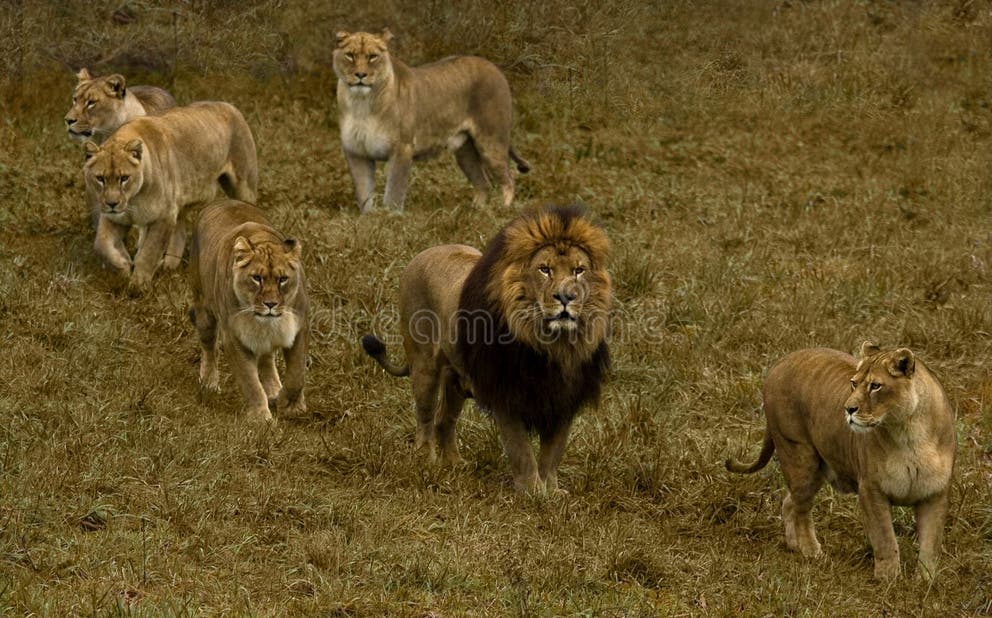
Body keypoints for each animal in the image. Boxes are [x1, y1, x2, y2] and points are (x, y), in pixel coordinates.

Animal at [83, 101, 258, 291]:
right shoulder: (115, 218)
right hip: (179, 203)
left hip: (243, 186)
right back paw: (168, 267)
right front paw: (124, 265)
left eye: (124, 178)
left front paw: (138, 286)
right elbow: (101, 244)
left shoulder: (164, 216)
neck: (133, 199)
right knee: (180, 233)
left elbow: (148, 253)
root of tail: (228, 105)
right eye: (100, 178)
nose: (112, 203)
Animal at [189, 199, 308, 422]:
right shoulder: (235, 338)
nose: (270, 304)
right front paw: (261, 418)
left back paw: (274, 390)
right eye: (256, 278)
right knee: (208, 346)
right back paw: (209, 381)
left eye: (282, 279)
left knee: (267, 358)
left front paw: (290, 406)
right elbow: (250, 382)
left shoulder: (299, 329)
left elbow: (296, 374)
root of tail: (220, 201)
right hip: (203, 309)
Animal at [333, 29, 530, 213]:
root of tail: (494, 67)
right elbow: (364, 192)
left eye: (373, 57)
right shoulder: (356, 151)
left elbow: (394, 192)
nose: (360, 74)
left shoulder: (402, 148)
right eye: (350, 55)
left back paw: (503, 211)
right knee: (484, 184)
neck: (361, 103)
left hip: (491, 141)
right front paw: (368, 219)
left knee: (508, 179)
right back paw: (474, 213)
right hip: (465, 151)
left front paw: (390, 218)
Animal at [361, 205, 611, 493]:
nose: (566, 297)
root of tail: (423, 253)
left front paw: (551, 490)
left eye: (578, 270)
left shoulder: (565, 398)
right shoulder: (506, 395)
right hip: (424, 365)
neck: (552, 345)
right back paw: (427, 461)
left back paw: (455, 463)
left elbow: (552, 452)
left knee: (444, 420)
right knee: (424, 418)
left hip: (455, 380)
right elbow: (521, 450)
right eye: (544, 269)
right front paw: (533, 492)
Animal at [726, 343, 956, 581]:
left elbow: (931, 543)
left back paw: (794, 546)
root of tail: (779, 363)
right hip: (800, 458)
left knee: (789, 502)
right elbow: (885, 539)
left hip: (817, 469)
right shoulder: (871, 490)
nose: (848, 409)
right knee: (801, 510)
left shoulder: (935, 493)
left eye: (875, 386)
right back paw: (812, 553)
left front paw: (925, 581)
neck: (908, 432)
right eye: (853, 383)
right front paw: (888, 579)